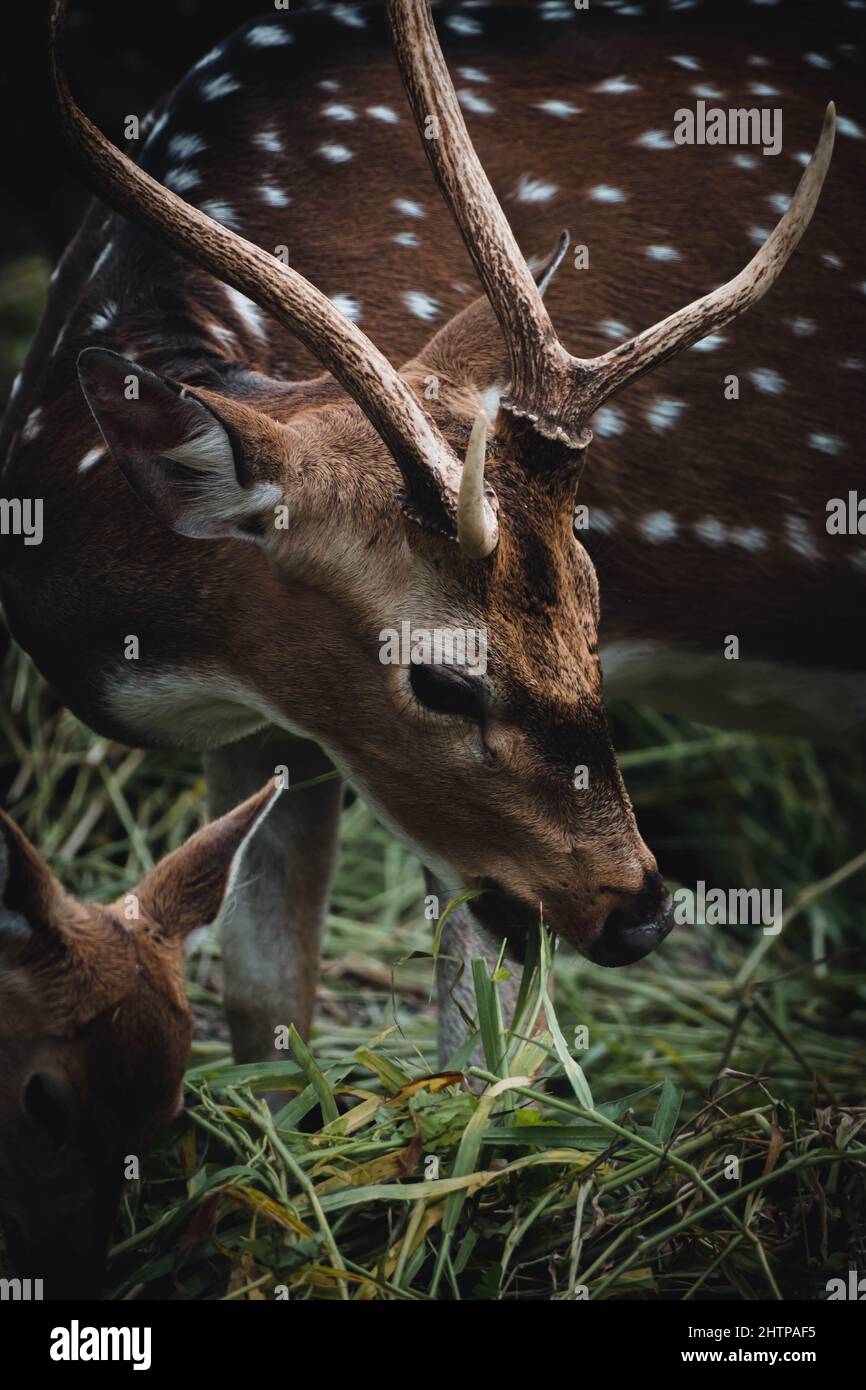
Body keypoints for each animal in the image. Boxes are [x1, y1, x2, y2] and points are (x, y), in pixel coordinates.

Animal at [0, 0, 857, 1081]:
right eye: (441, 677)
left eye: (597, 612)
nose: (641, 917)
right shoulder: (285, 734)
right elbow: (264, 1004)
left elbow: (482, 1067)